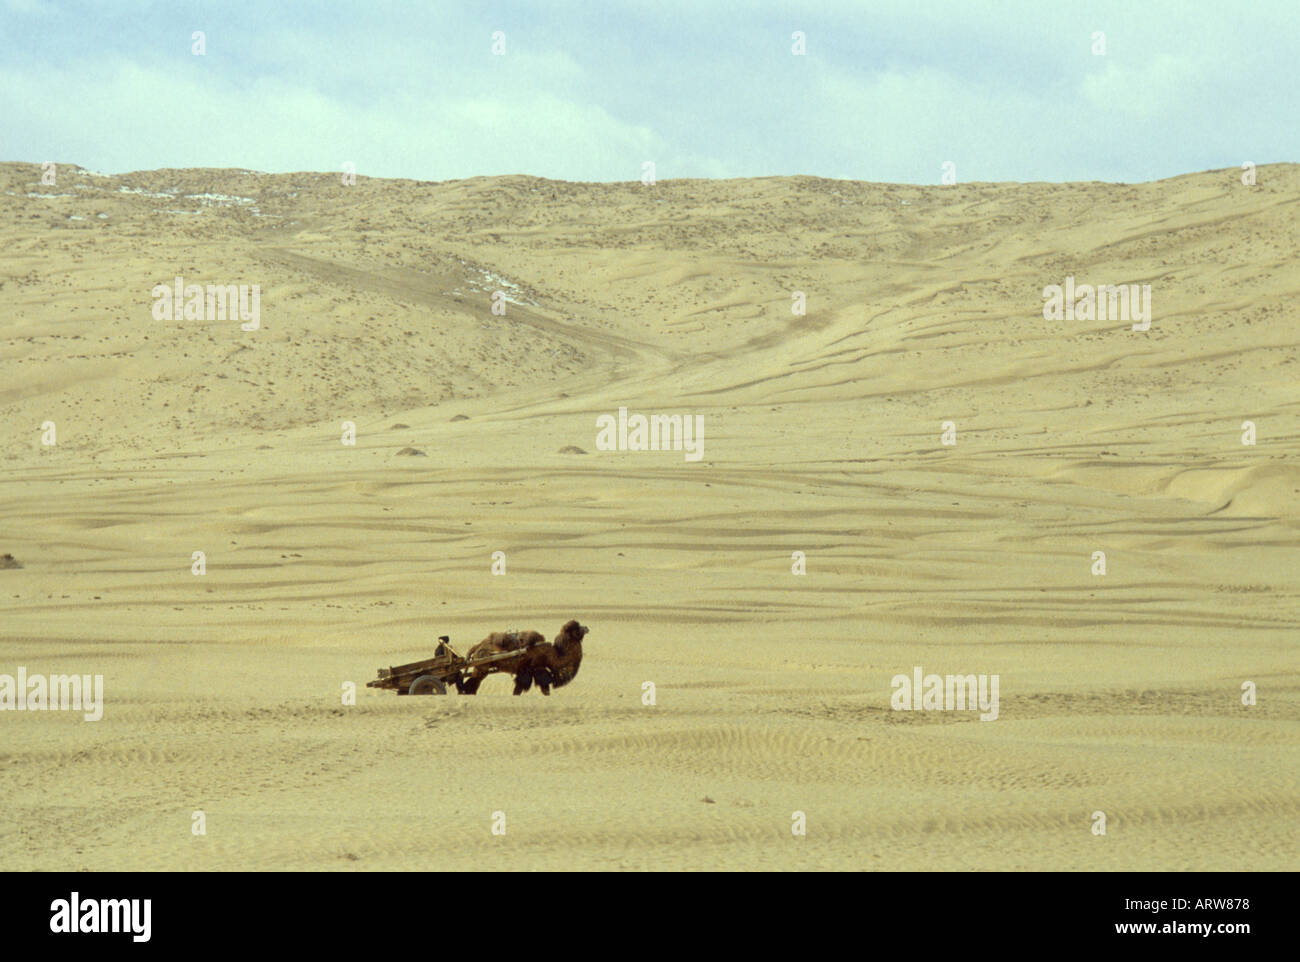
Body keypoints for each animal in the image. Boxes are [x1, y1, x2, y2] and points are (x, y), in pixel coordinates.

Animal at [459, 620, 590, 696]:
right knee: (472, 682)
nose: (587, 628)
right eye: (577, 628)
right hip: (482, 667)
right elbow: (539, 686)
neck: (554, 655)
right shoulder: (536, 669)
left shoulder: (526, 671)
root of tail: (477, 646)